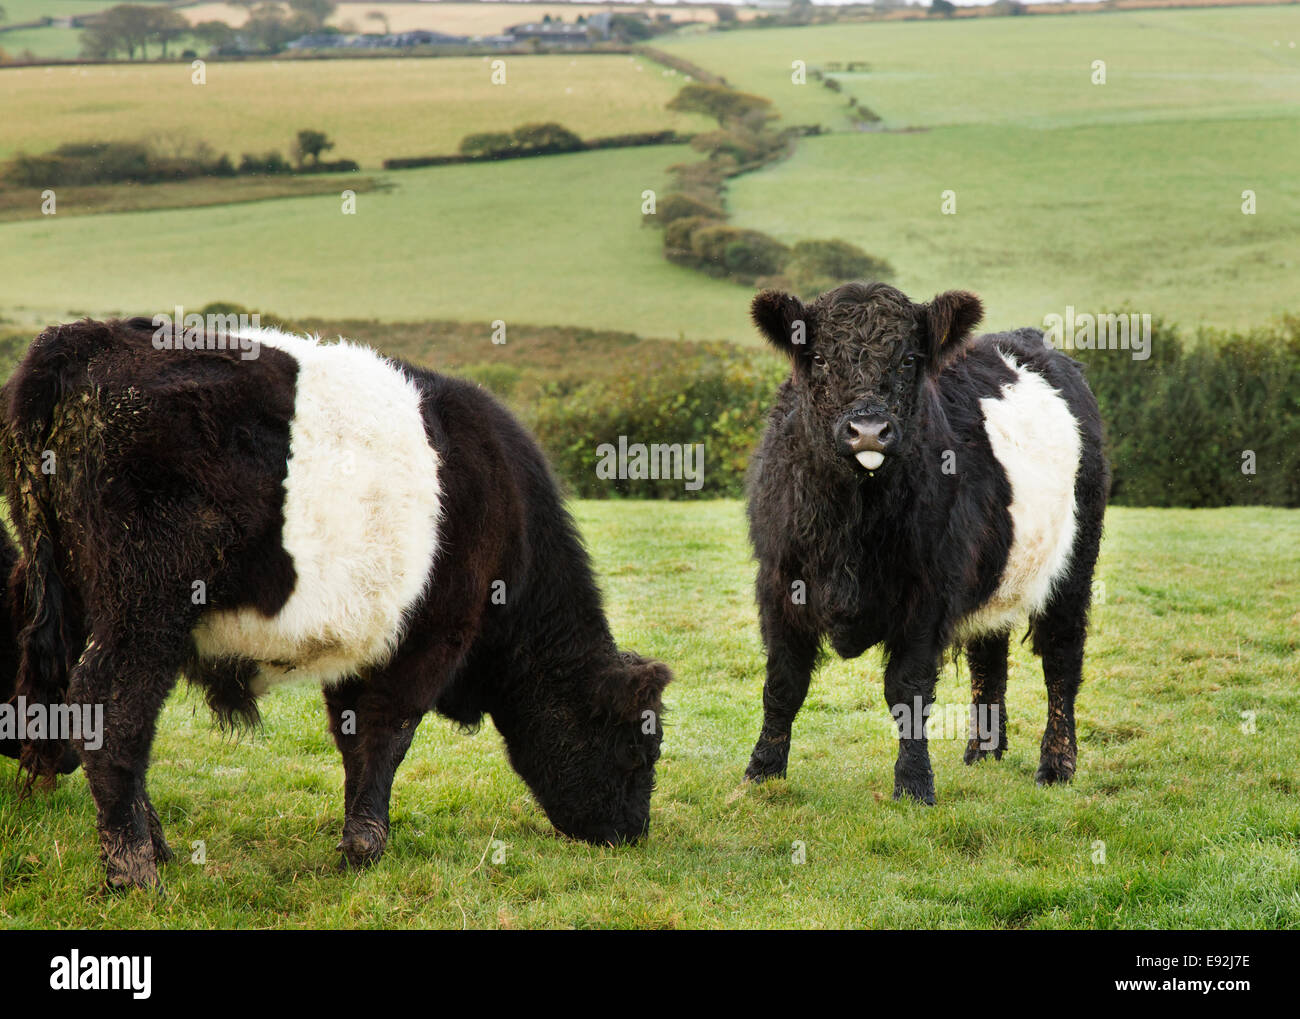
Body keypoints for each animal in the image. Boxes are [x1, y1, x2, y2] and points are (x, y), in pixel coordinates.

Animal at [1, 317, 670, 891]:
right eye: (640, 749)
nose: (633, 834)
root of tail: (87, 337)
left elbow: (356, 737)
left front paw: (359, 840)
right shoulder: (428, 637)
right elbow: (385, 736)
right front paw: (365, 851)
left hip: (70, 598)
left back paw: (155, 848)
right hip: (144, 605)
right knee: (112, 708)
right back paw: (136, 873)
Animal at [743, 281, 1108, 804]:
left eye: (909, 359)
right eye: (819, 359)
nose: (868, 431)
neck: (853, 516)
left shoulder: (927, 592)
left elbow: (908, 690)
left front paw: (914, 785)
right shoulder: (779, 581)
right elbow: (783, 683)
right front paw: (760, 774)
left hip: (1075, 563)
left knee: (1062, 655)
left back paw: (1057, 765)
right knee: (988, 657)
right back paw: (983, 753)